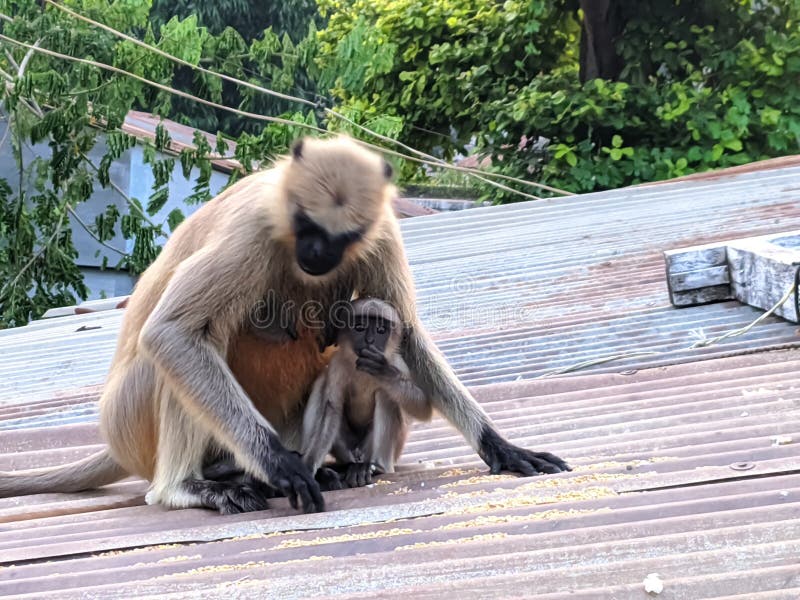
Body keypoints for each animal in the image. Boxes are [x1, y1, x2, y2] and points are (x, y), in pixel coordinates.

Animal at [300, 297, 432, 489]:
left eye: (381, 330)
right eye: (360, 328)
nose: (370, 340)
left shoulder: (397, 363)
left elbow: (423, 407)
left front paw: (384, 372)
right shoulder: (337, 364)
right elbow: (332, 409)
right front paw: (308, 467)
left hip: (381, 449)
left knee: (386, 395)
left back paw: (378, 467)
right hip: (348, 449)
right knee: (322, 385)